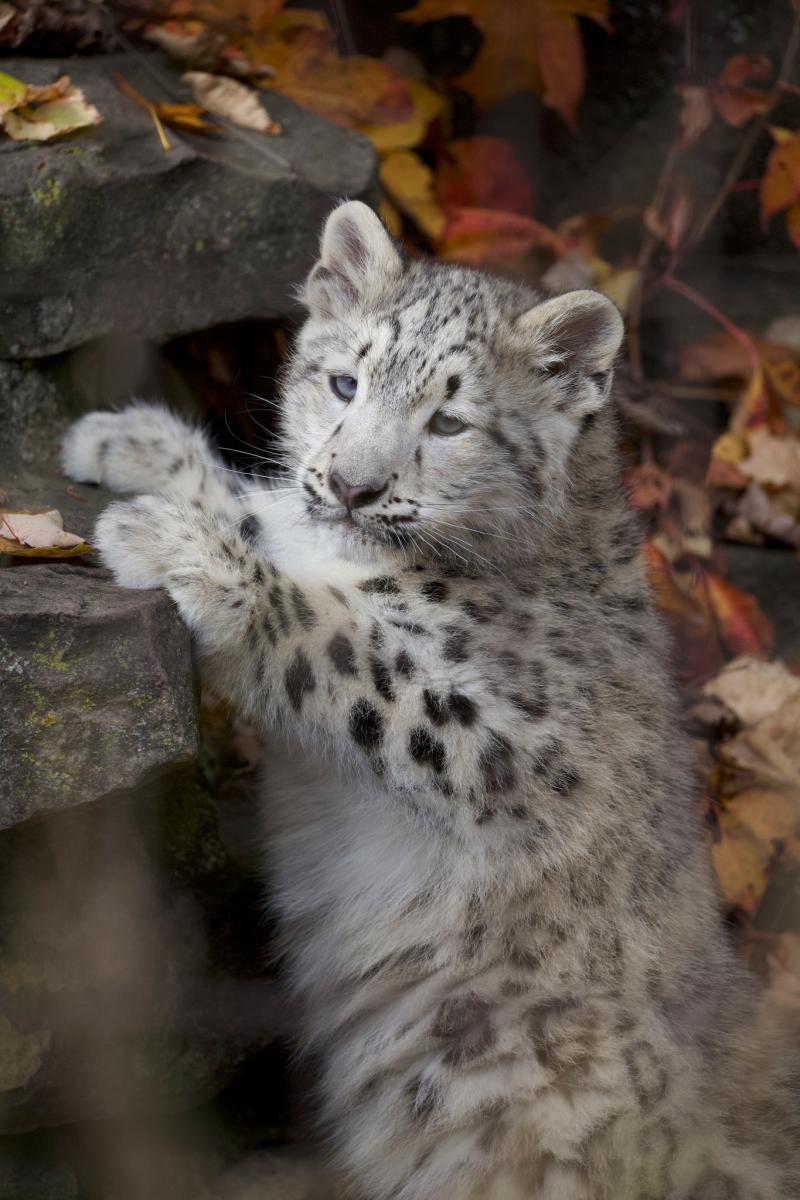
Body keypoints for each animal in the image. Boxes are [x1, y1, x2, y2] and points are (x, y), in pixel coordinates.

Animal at [62, 200, 800, 1200]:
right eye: (344, 381)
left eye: (449, 421)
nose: (351, 486)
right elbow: (276, 525)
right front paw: (133, 445)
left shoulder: (511, 749)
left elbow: (339, 645)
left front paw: (184, 550)